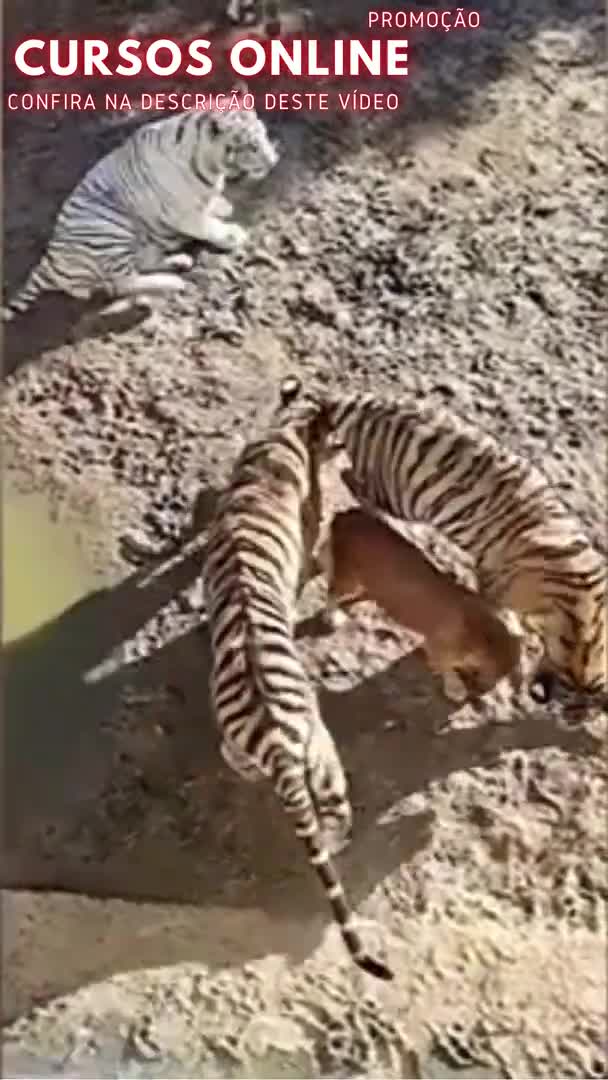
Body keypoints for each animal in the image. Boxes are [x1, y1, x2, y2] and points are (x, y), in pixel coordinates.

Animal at [3, 105, 279, 322]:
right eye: (252, 146)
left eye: (264, 134)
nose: (274, 160)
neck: (209, 163)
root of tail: (48, 260)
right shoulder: (180, 210)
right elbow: (205, 225)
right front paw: (232, 235)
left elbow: (210, 206)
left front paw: (222, 206)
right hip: (110, 227)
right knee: (120, 283)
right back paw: (173, 283)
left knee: (139, 265)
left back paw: (179, 261)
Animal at [202, 390, 393, 980]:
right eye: (339, 438)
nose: (346, 461)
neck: (281, 434)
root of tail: (276, 738)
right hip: (324, 754)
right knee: (334, 821)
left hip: (271, 743)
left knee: (241, 759)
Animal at [277, 385, 606, 715]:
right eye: (578, 702)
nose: (568, 715)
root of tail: (358, 400)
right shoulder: (494, 583)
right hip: (395, 492)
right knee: (352, 481)